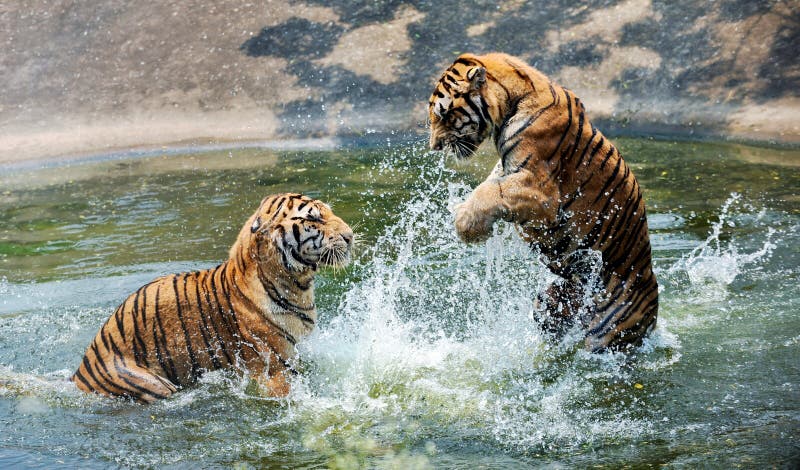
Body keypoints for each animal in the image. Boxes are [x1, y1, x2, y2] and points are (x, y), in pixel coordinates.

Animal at [72, 193, 353, 403]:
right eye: (314, 219)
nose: (350, 236)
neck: (297, 285)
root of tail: (79, 371)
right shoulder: (275, 372)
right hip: (150, 383)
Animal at [428, 52, 658, 352]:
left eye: (443, 114)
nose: (434, 146)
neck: (512, 101)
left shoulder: (541, 191)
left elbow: (491, 192)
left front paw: (467, 226)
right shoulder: (508, 169)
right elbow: (489, 183)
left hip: (608, 332)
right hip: (551, 305)